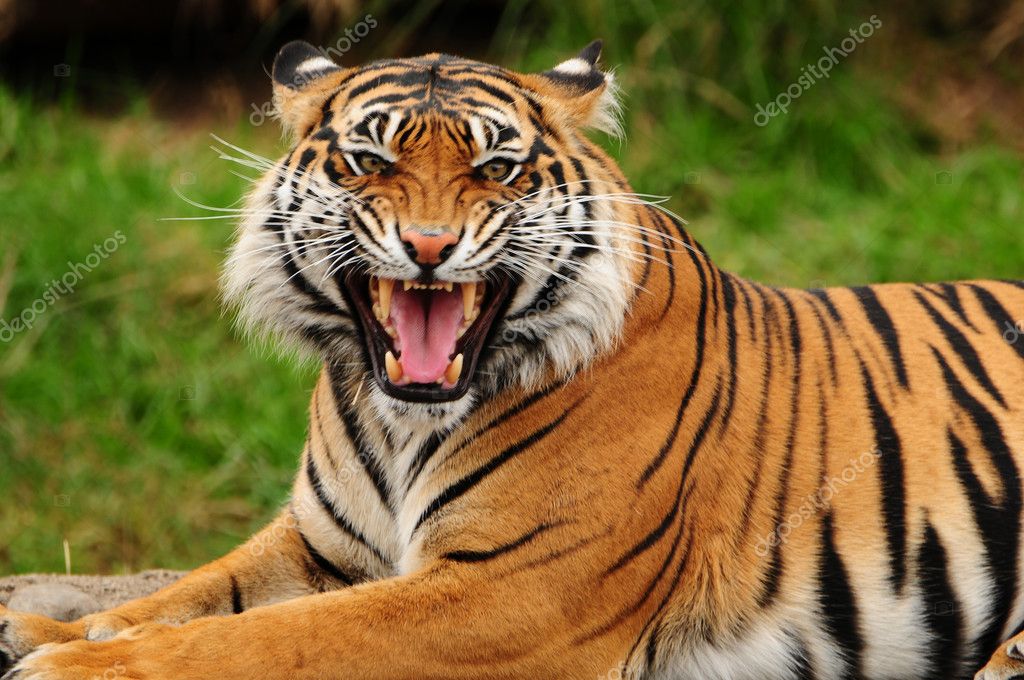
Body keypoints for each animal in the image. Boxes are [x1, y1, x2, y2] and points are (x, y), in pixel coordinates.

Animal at [2, 38, 1023, 680]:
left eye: (495, 170)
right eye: (370, 162)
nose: (427, 246)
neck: (397, 420)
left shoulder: (514, 593)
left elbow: (263, 643)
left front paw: (69, 665)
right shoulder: (320, 547)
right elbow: (191, 596)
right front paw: (42, 627)